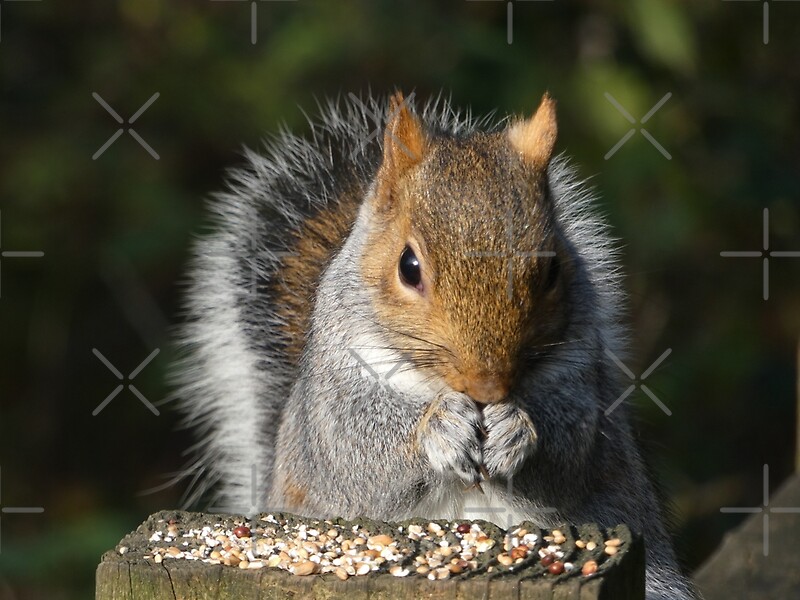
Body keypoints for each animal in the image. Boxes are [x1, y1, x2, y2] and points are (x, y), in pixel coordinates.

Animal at [174, 92, 697, 599]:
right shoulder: (334, 394)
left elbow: (573, 454)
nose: (487, 388)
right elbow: (360, 452)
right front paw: (439, 428)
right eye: (408, 266)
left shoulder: (580, 376)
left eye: (552, 269)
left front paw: (515, 430)